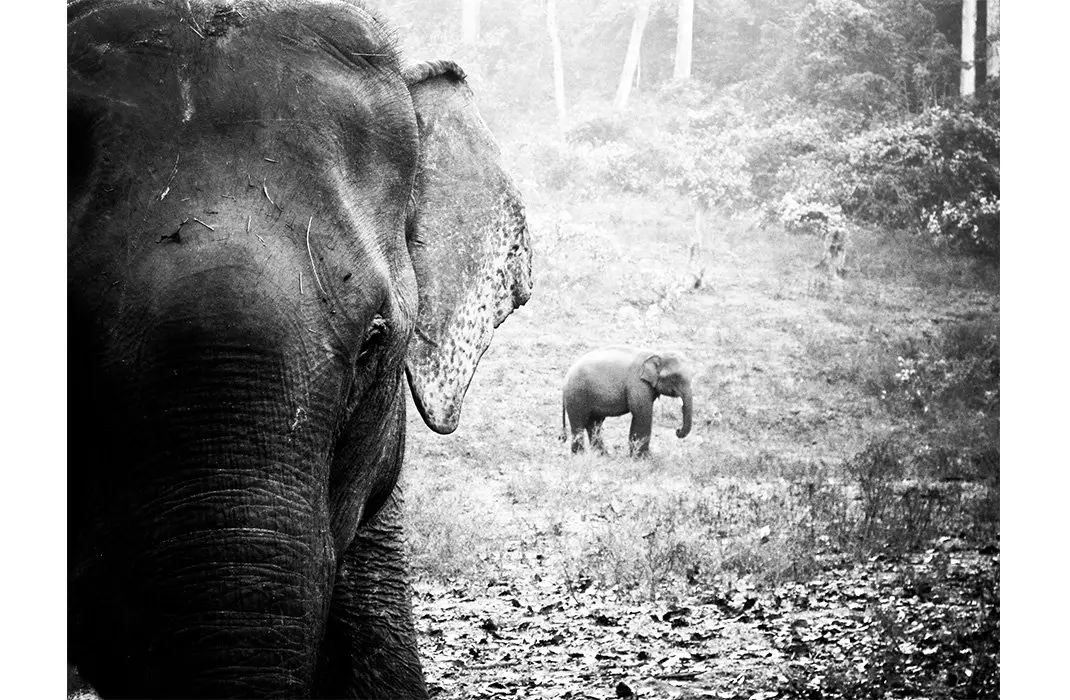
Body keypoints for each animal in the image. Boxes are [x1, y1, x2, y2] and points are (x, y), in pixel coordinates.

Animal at [560, 346, 693, 458]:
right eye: (675, 377)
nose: (677, 431)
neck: (657, 353)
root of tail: (565, 378)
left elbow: (638, 417)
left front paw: (634, 456)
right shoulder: (638, 384)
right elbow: (642, 414)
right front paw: (644, 458)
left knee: (594, 425)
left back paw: (603, 456)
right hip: (576, 395)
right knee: (578, 425)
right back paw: (579, 457)